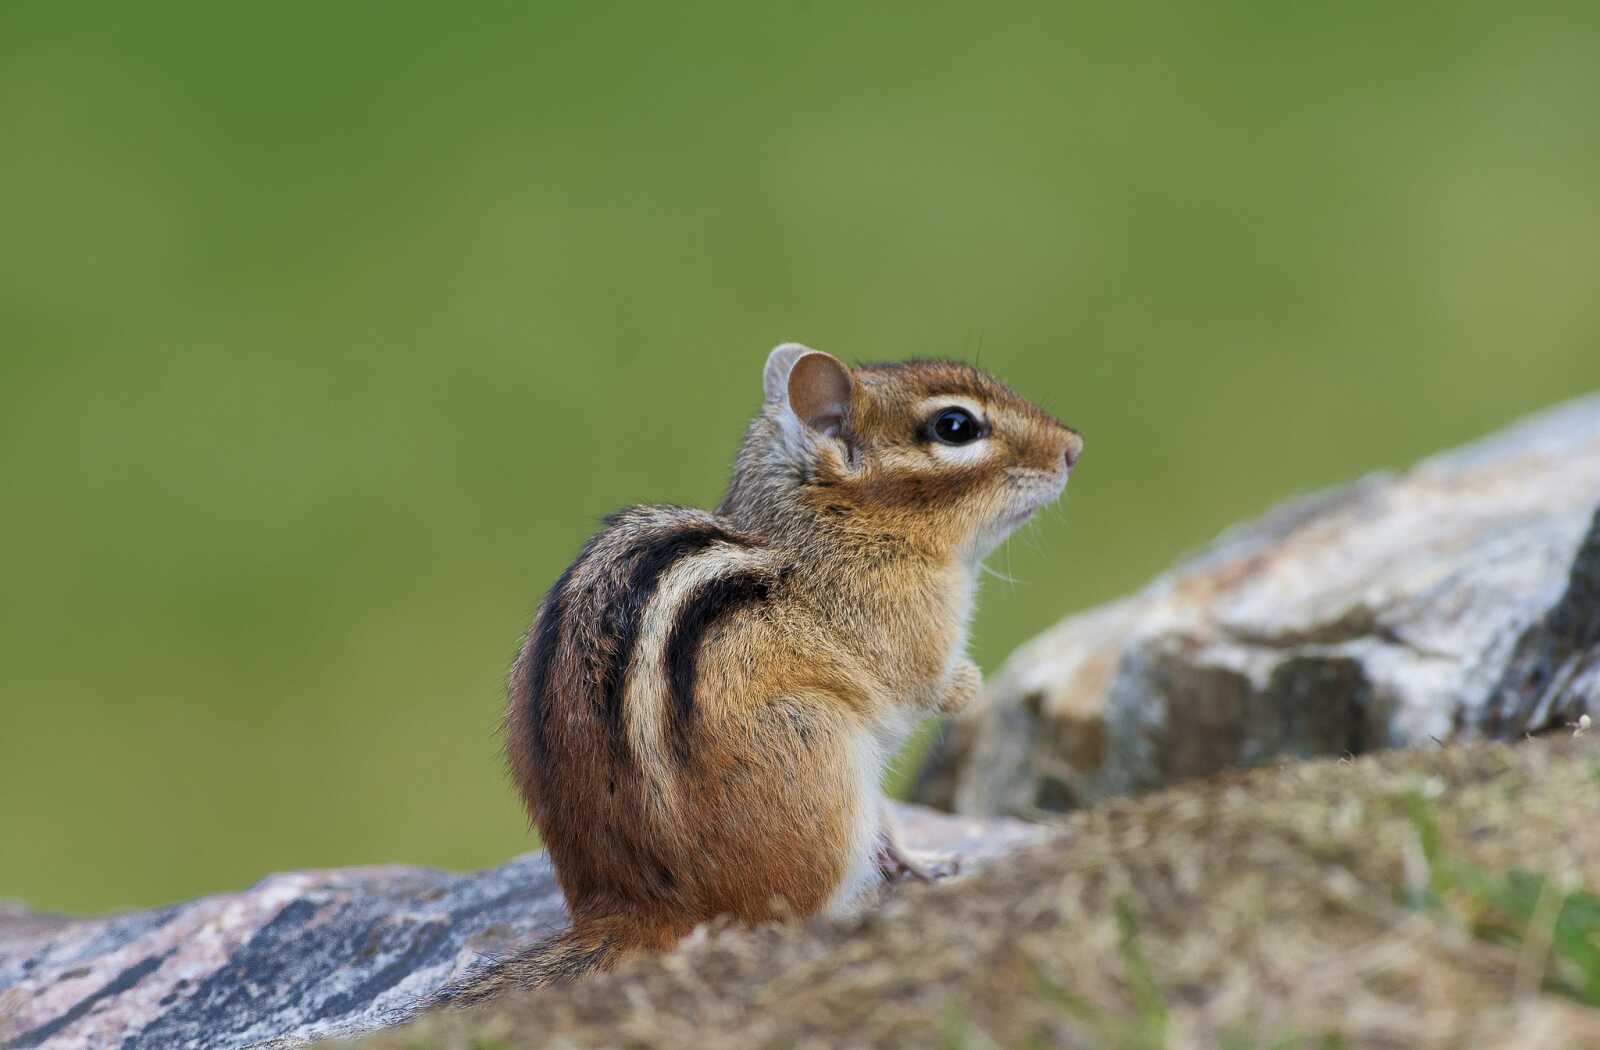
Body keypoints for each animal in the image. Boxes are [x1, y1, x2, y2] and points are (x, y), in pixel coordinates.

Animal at [429, 344, 1082, 1007]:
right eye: (955, 427)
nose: (1074, 448)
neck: (836, 522)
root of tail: (639, 908)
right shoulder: (907, 631)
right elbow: (925, 684)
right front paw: (967, 683)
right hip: (821, 758)